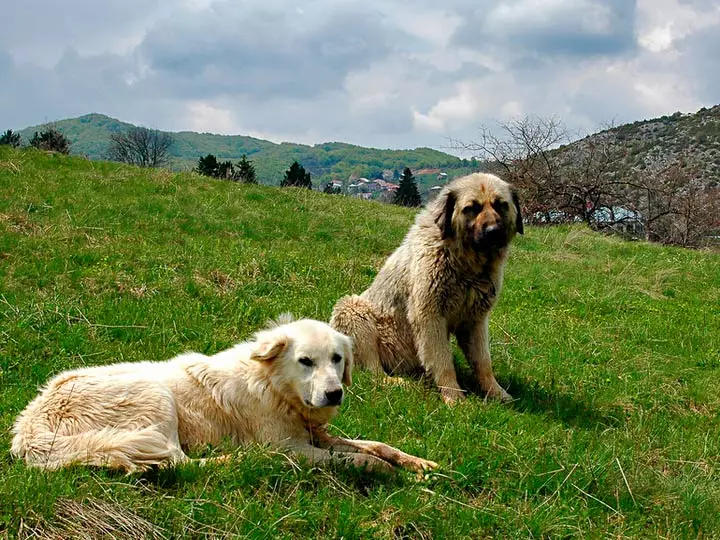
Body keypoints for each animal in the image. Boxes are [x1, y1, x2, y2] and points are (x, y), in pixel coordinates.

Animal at [12, 316, 438, 472]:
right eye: (305, 361)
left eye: (337, 359)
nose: (334, 394)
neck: (274, 388)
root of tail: (27, 430)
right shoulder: (290, 446)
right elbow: (355, 459)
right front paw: (386, 472)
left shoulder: (316, 434)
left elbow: (377, 445)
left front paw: (418, 464)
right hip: (156, 396)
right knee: (179, 462)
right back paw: (242, 459)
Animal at [332, 173, 524, 404]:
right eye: (472, 208)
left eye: (501, 205)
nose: (493, 232)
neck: (467, 265)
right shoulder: (430, 316)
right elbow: (443, 361)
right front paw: (454, 396)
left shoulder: (475, 321)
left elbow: (483, 363)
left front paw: (496, 392)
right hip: (352, 310)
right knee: (374, 372)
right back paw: (398, 383)